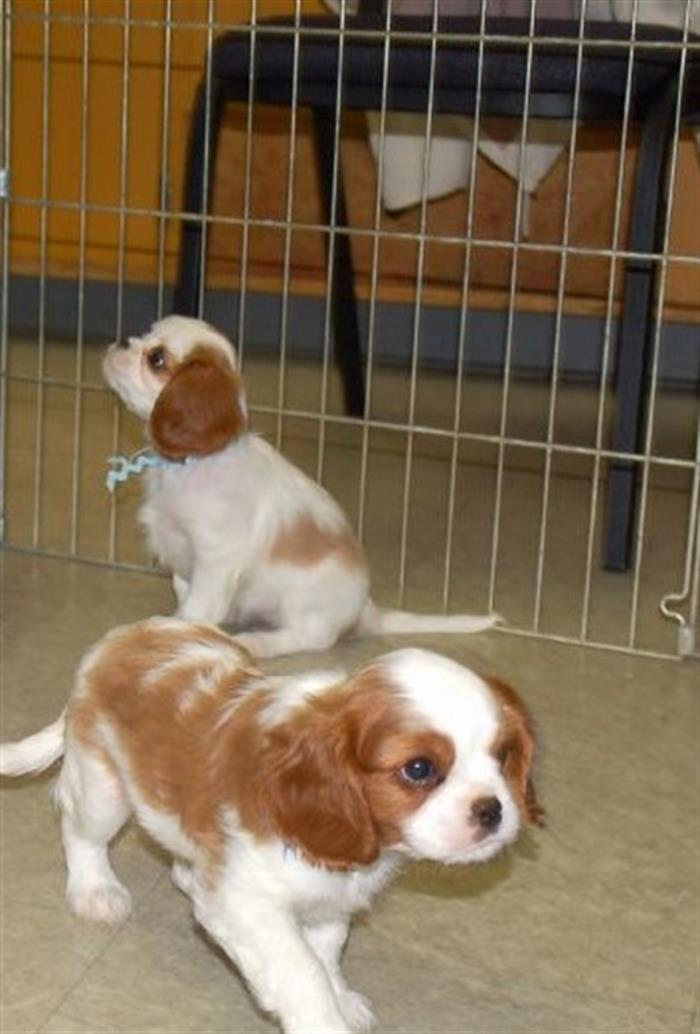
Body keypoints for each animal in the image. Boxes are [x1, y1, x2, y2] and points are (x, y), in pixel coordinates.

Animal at [0, 616, 541, 1029]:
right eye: (420, 769)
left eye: (503, 755)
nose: (492, 810)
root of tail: (122, 638)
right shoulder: (247, 905)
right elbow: (301, 971)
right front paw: (326, 1021)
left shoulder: (328, 902)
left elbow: (326, 953)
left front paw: (342, 999)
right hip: (102, 787)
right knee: (79, 830)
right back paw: (94, 891)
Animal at [102, 310, 496, 657]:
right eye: (146, 333)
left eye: (156, 358)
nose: (120, 339)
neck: (188, 466)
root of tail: (365, 612)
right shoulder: (183, 561)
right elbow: (184, 595)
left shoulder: (214, 561)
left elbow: (197, 610)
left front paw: (172, 636)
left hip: (303, 605)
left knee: (310, 639)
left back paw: (255, 643)